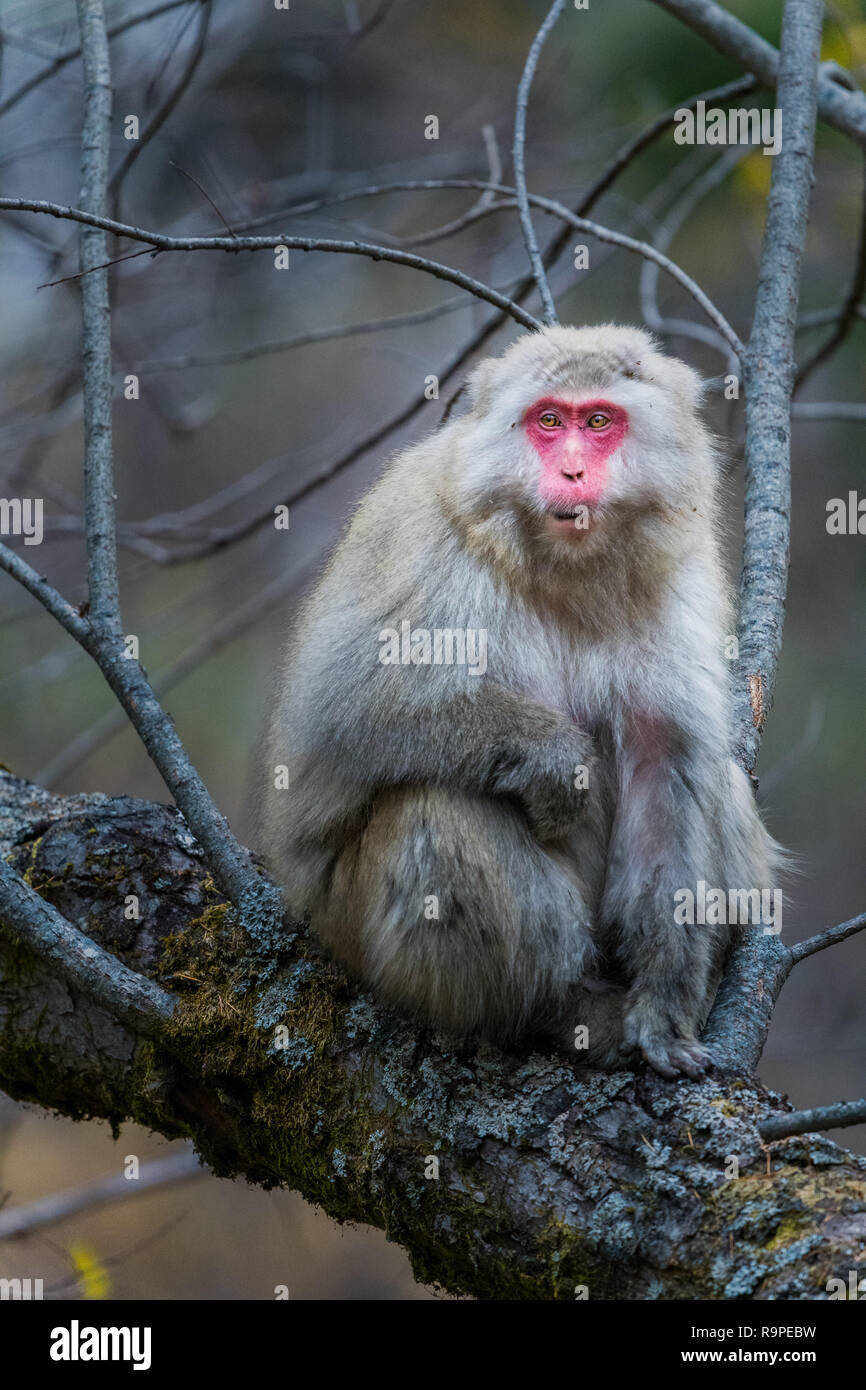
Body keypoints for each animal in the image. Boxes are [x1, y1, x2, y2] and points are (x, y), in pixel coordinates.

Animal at [258, 324, 782, 1079]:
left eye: (599, 422)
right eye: (549, 421)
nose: (571, 473)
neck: (567, 569)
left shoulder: (678, 575)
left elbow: (668, 763)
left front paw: (664, 1008)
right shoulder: (424, 538)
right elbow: (343, 714)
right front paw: (558, 761)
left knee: (719, 777)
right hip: (358, 936)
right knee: (434, 806)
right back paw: (556, 1007)